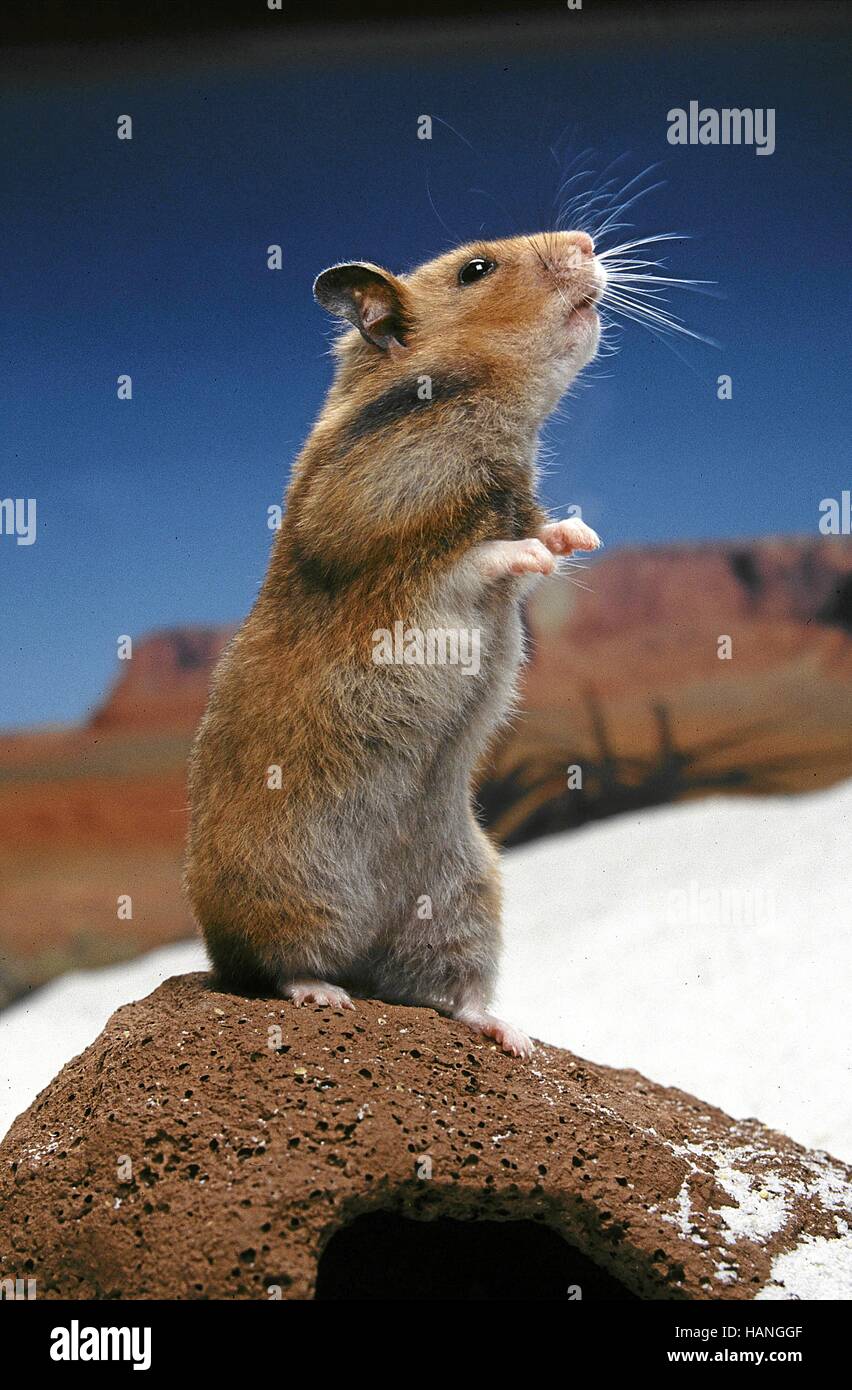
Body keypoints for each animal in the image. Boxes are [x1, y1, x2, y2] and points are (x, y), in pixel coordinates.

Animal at [184, 230, 604, 1057]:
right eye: (477, 269)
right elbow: (483, 557)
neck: (479, 411)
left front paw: (581, 538)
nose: (588, 243)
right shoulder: (395, 551)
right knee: (280, 967)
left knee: (451, 993)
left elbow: (536, 533)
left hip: (465, 897)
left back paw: (512, 1036)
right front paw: (538, 554)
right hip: (288, 887)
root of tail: (369, 945)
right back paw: (325, 995)